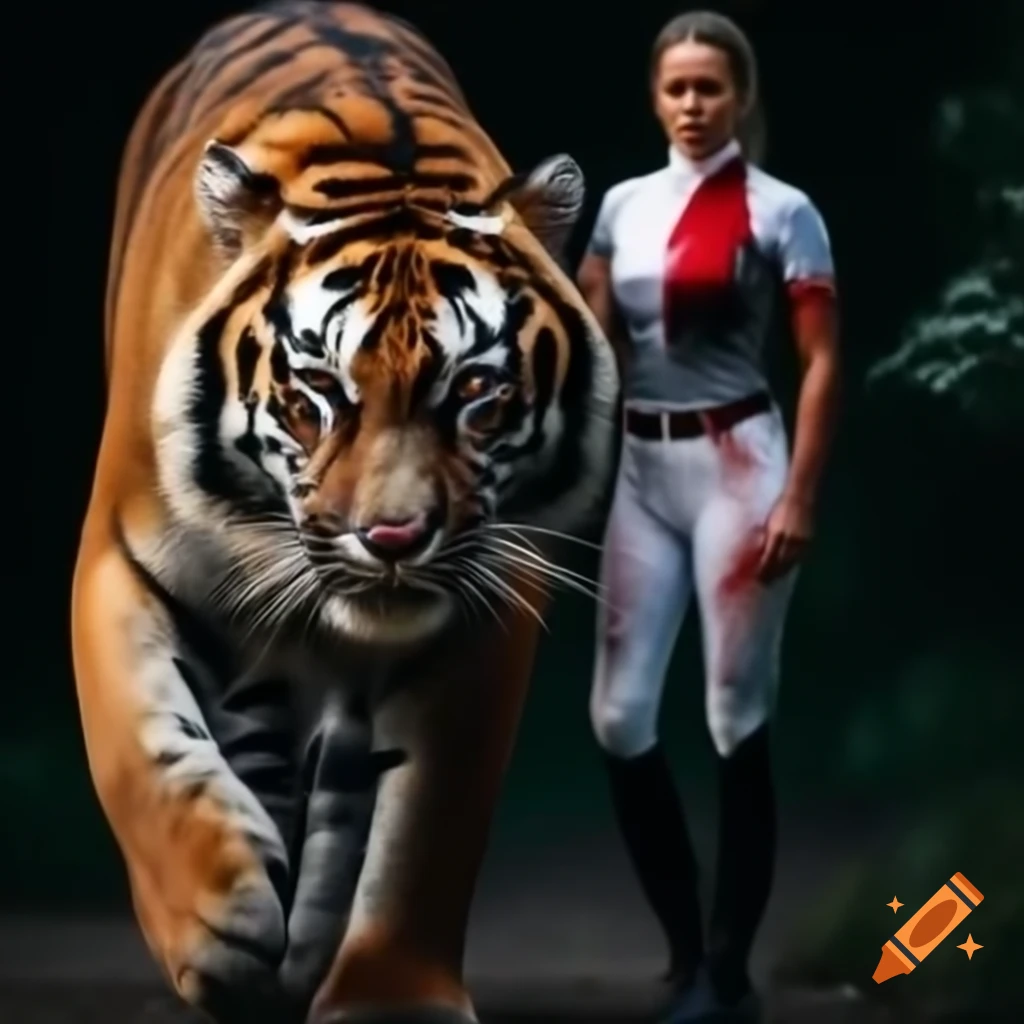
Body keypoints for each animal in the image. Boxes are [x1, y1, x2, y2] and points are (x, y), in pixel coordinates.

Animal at [70, 1, 618, 1022]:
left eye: (474, 391)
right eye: (318, 390)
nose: (394, 537)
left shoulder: (486, 600)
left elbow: (424, 827)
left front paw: (386, 995)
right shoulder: (121, 556)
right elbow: (140, 750)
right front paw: (215, 919)